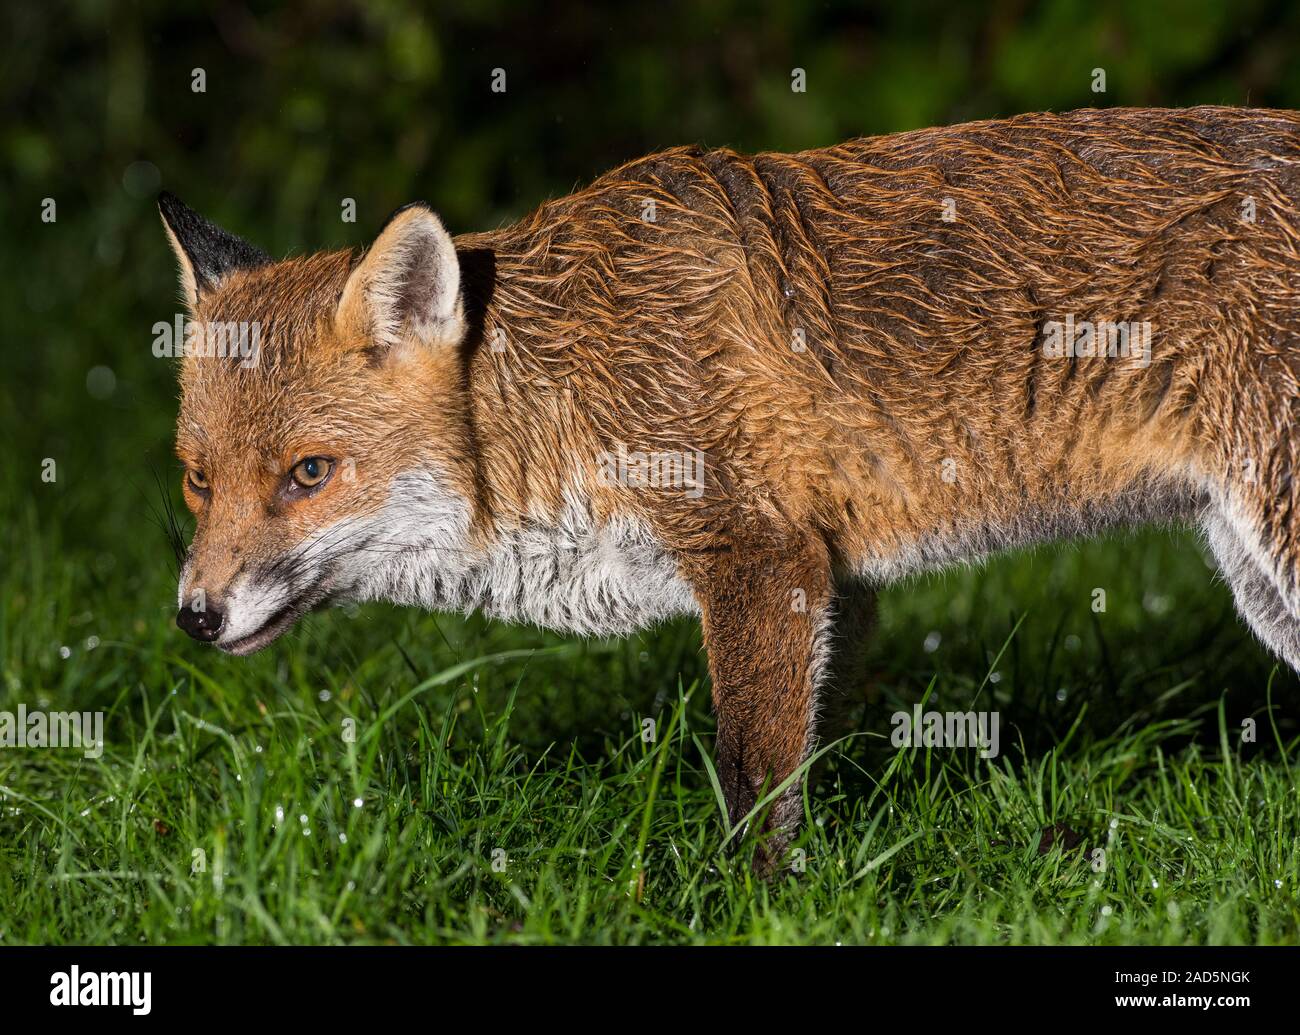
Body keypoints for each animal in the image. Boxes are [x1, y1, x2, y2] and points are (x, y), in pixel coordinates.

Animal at [161, 106, 1300, 873]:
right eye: (197, 482)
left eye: (309, 475)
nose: (194, 617)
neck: (559, 396)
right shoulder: (835, 582)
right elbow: (808, 753)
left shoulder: (759, 554)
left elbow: (754, 778)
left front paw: (746, 903)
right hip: (1259, 577)